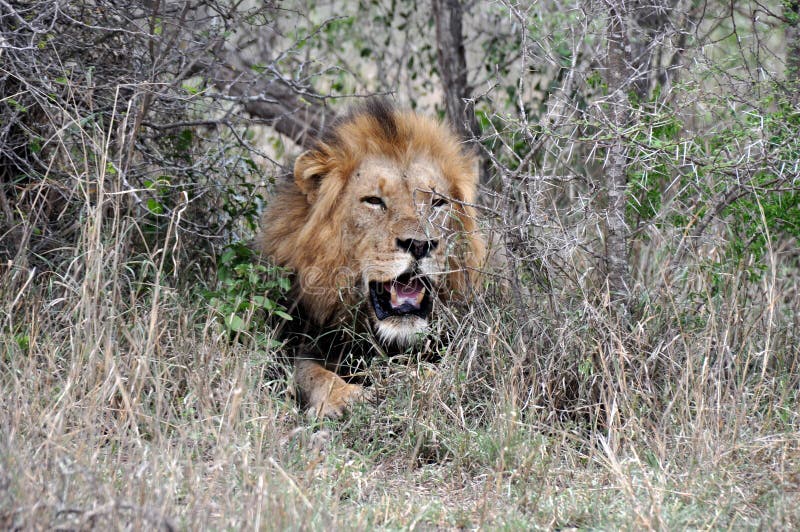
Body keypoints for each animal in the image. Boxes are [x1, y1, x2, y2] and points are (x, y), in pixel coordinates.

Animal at [258, 99, 484, 418]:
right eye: (374, 201)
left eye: (438, 203)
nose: (419, 244)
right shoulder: (294, 342)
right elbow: (311, 374)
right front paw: (346, 399)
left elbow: (449, 369)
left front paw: (413, 380)